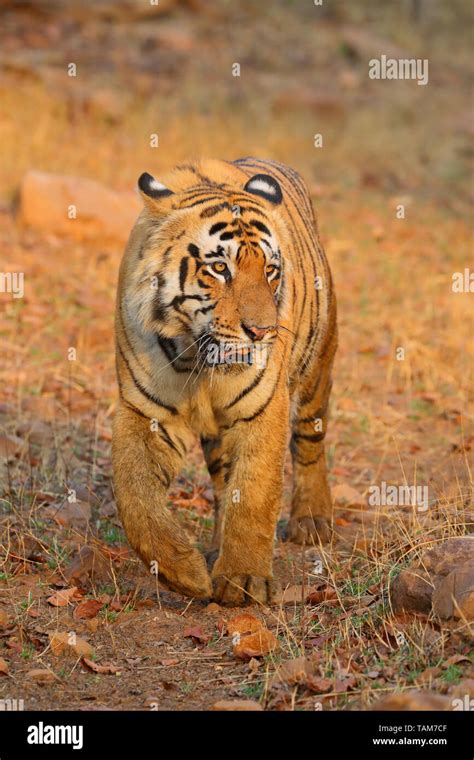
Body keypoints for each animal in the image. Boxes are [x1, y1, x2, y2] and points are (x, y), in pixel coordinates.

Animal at [112, 157, 337, 606]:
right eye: (219, 268)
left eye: (270, 271)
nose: (262, 331)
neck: (197, 358)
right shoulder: (145, 410)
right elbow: (135, 495)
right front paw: (185, 573)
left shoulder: (263, 410)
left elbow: (253, 493)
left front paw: (243, 579)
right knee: (221, 484)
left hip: (316, 368)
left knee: (309, 443)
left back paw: (312, 521)